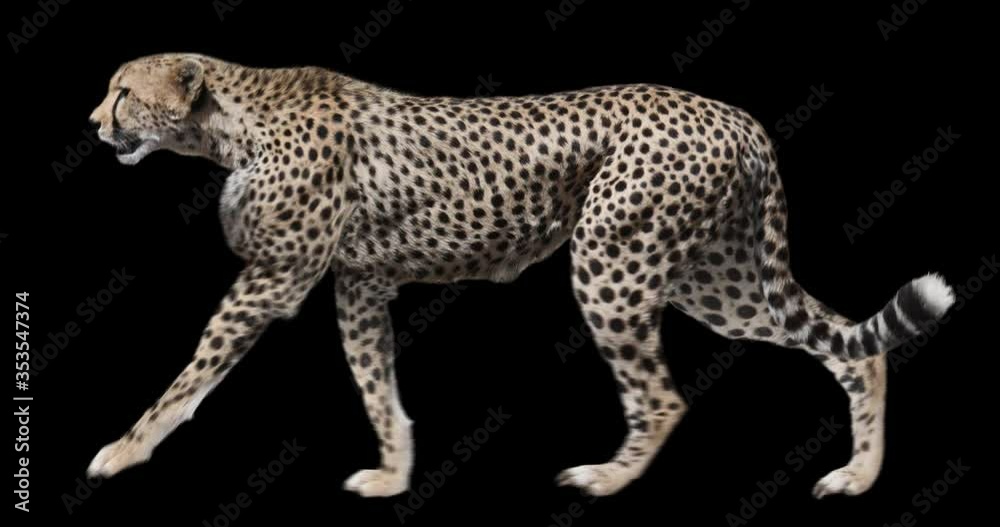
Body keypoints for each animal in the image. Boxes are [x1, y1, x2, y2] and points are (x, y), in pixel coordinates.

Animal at [86, 53, 955, 499]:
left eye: (122, 90)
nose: (93, 124)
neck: (228, 122)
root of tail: (730, 112)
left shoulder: (274, 275)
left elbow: (189, 373)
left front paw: (124, 450)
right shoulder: (359, 282)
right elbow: (377, 385)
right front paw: (394, 473)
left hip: (613, 262)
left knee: (663, 394)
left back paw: (605, 476)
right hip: (716, 278)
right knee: (853, 348)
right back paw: (859, 473)